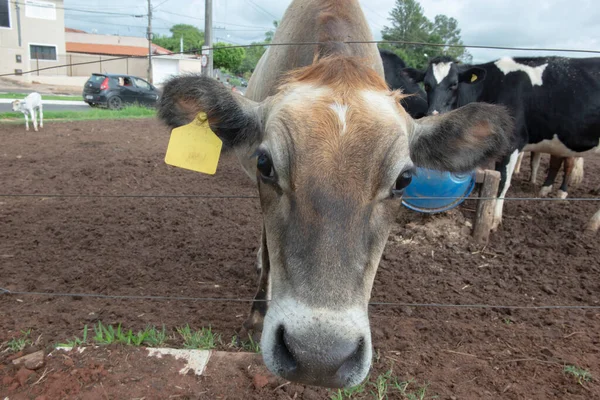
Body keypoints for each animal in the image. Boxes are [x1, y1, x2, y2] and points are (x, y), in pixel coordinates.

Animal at [404, 56, 600, 231]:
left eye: (454, 84)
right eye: (427, 85)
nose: (434, 114)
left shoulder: (513, 142)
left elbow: (503, 181)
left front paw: (492, 220)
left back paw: (588, 220)